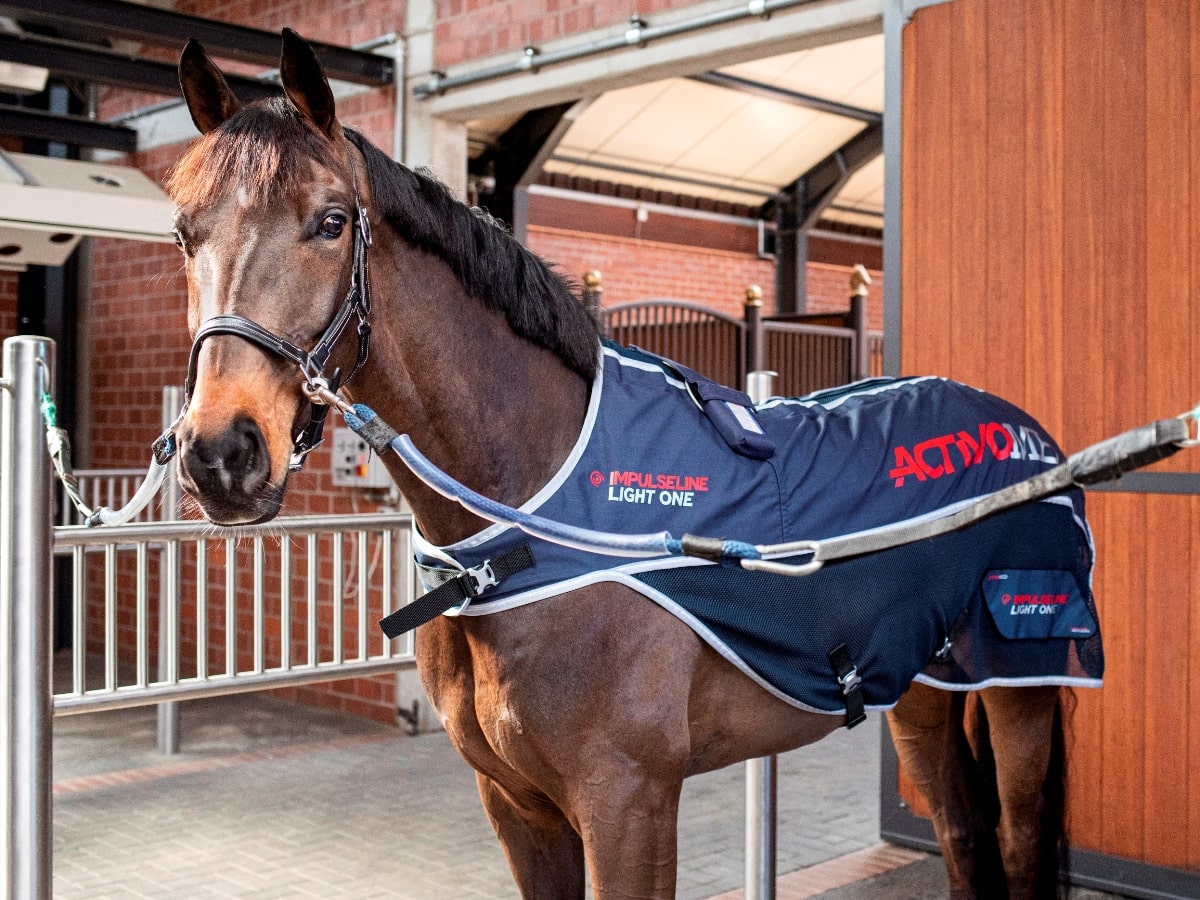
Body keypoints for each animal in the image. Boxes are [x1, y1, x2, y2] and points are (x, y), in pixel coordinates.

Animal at [165, 30, 1085, 899]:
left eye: (330, 221)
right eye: (183, 233)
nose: (222, 453)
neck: (531, 528)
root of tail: (1023, 434)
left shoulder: (627, 803)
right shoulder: (516, 807)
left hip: (1020, 687)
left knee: (1016, 841)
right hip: (922, 694)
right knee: (964, 838)